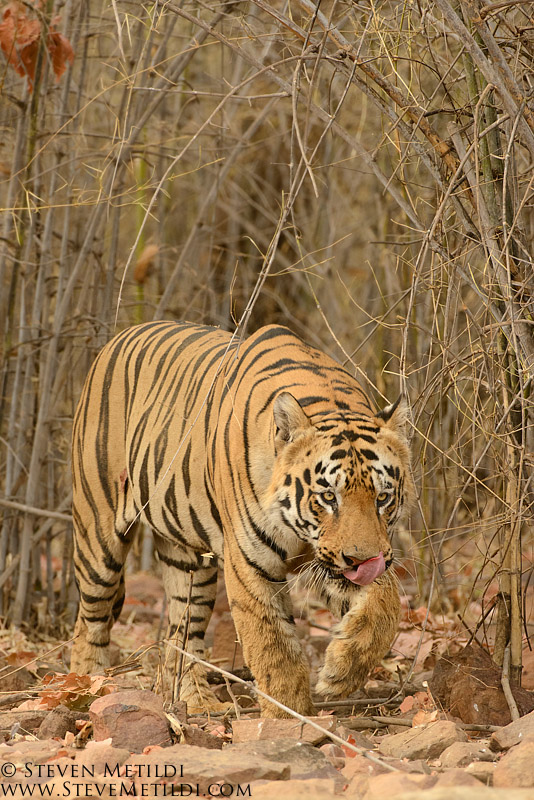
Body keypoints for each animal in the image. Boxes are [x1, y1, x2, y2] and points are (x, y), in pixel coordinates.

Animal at [70, 320, 413, 718]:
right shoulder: (251, 565)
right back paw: (87, 690)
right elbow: (273, 648)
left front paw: (341, 671)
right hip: (98, 538)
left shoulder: (354, 557)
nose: (361, 562)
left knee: (181, 636)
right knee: (89, 622)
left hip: (190, 567)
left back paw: (196, 702)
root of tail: (120, 336)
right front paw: (288, 717)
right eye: (328, 497)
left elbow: (385, 608)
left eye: (382, 498)